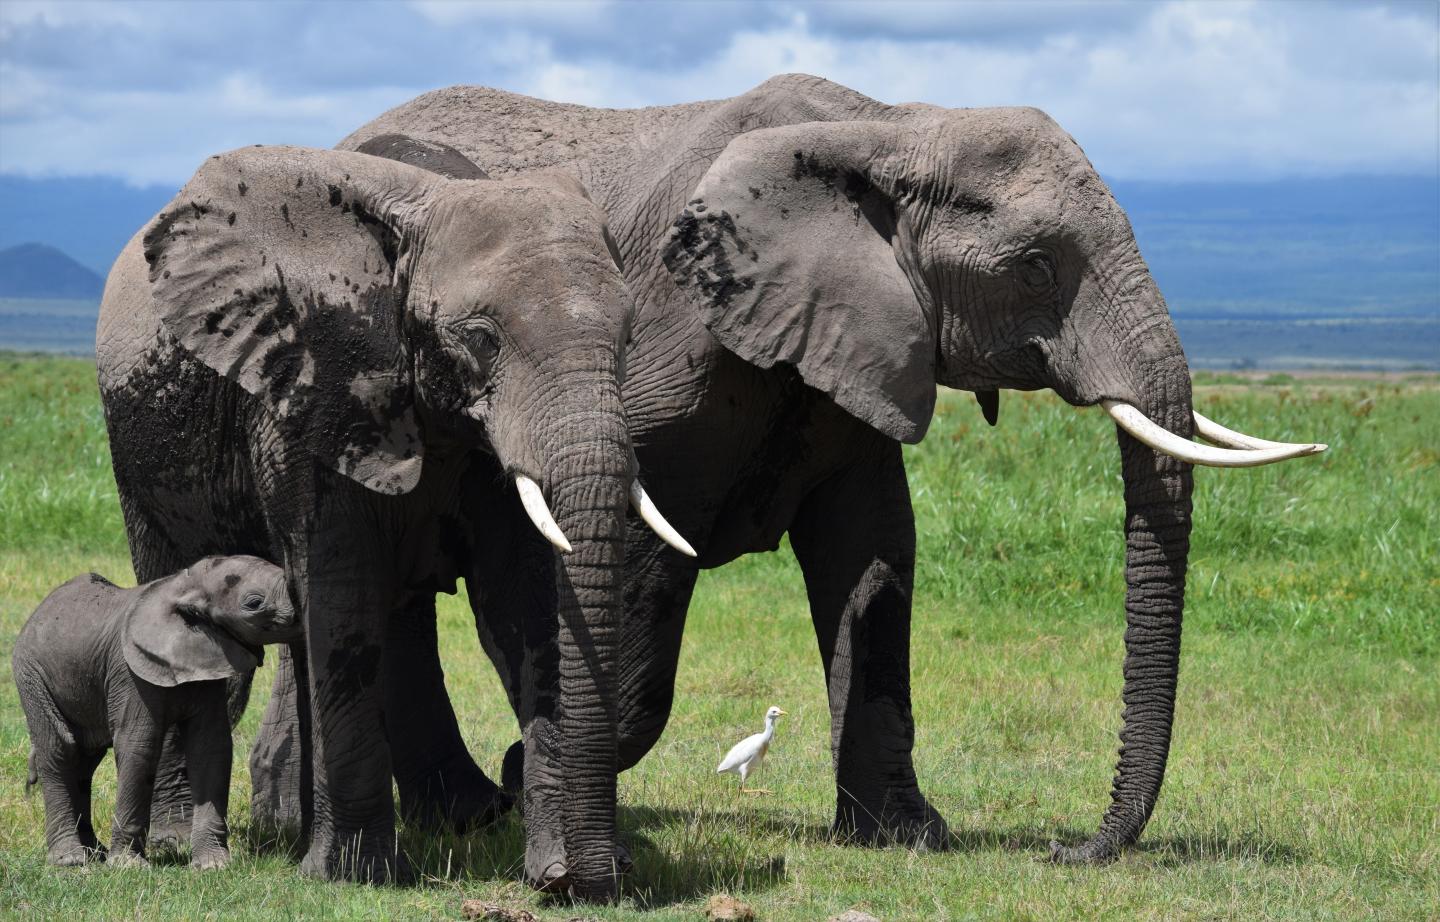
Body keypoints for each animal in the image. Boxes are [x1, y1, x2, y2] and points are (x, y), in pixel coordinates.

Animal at [12, 556, 298, 869]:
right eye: (254, 603)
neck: (183, 583)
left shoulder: (207, 661)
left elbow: (211, 748)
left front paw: (213, 865)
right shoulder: (129, 674)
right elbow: (140, 747)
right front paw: (128, 866)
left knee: (84, 761)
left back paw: (94, 853)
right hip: (31, 677)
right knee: (59, 751)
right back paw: (71, 860)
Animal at [95, 139, 692, 890]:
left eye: (629, 333)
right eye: (481, 339)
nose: (588, 879)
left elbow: (526, 604)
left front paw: (563, 871)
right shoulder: (312, 395)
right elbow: (343, 593)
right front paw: (353, 876)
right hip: (138, 450)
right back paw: (188, 843)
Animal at [333, 73, 1325, 888]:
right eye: (1036, 267)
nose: (1067, 849)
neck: (890, 128)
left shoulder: (863, 339)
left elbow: (877, 559)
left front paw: (907, 836)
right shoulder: (670, 336)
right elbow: (643, 563)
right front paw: (548, 773)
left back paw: (464, 811)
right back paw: (477, 807)